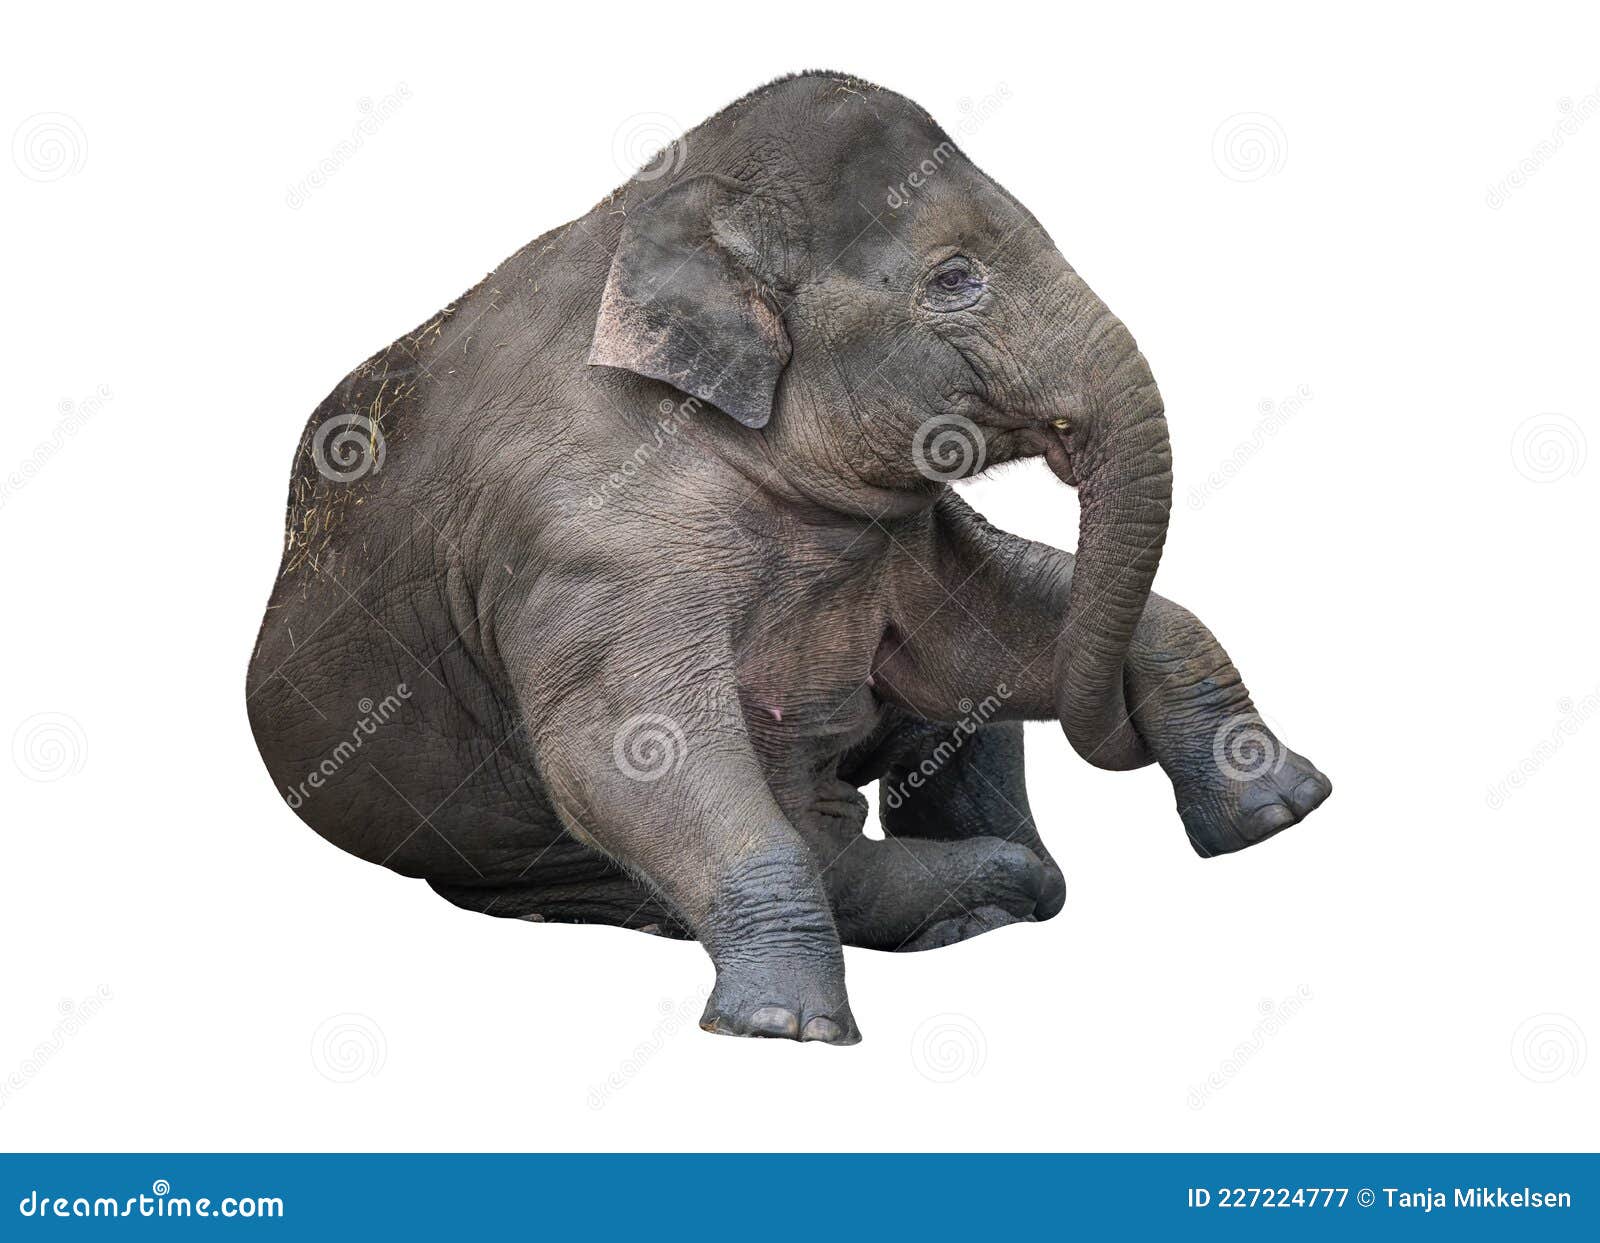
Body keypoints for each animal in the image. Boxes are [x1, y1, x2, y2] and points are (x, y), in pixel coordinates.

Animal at [246, 72, 1331, 1045]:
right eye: (955, 279)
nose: (1117, 735)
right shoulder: (585, 543)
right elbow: (624, 751)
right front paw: (784, 1026)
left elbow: (985, 644)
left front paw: (1282, 810)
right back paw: (1002, 889)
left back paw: (1008, 891)